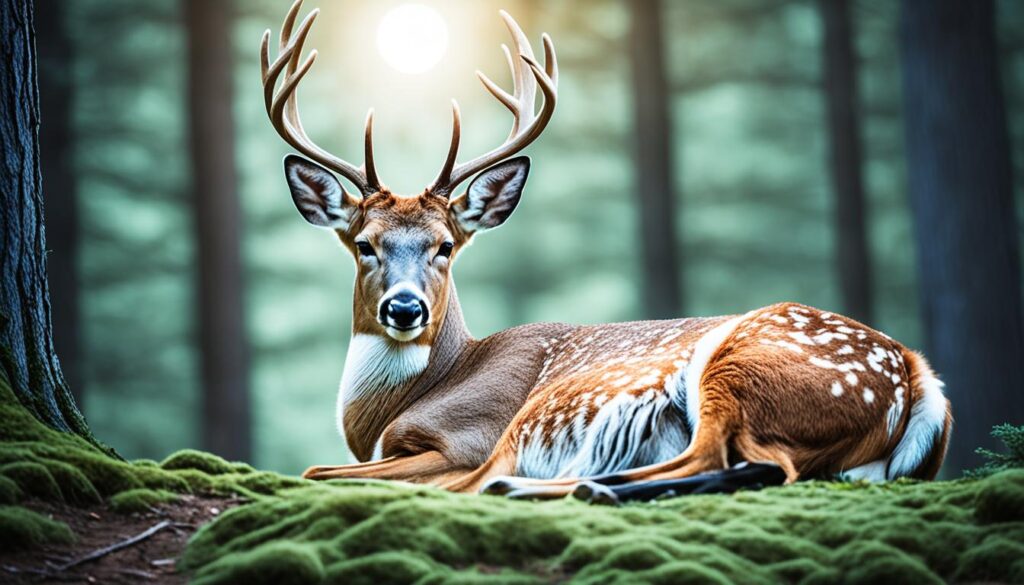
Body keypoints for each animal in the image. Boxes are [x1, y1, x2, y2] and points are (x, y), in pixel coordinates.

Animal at [261, 0, 953, 503]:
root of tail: (919, 382)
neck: (389, 413)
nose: (405, 309)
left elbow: (316, 471)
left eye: (445, 246)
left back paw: (566, 486)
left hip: (744, 368)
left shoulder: (465, 436)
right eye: (364, 244)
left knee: (742, 461)